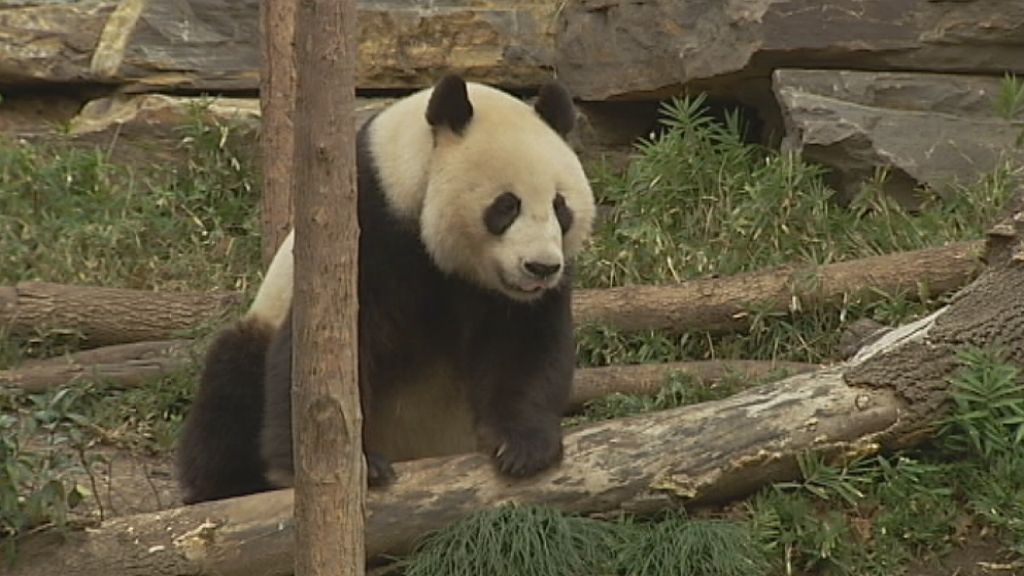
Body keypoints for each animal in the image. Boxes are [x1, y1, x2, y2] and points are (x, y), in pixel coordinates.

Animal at [176, 75, 596, 504]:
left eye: (561, 207)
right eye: (506, 206)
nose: (541, 267)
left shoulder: (516, 295)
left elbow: (525, 343)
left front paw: (523, 446)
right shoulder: (367, 228)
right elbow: (330, 351)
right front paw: (350, 465)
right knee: (231, 383)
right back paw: (230, 486)